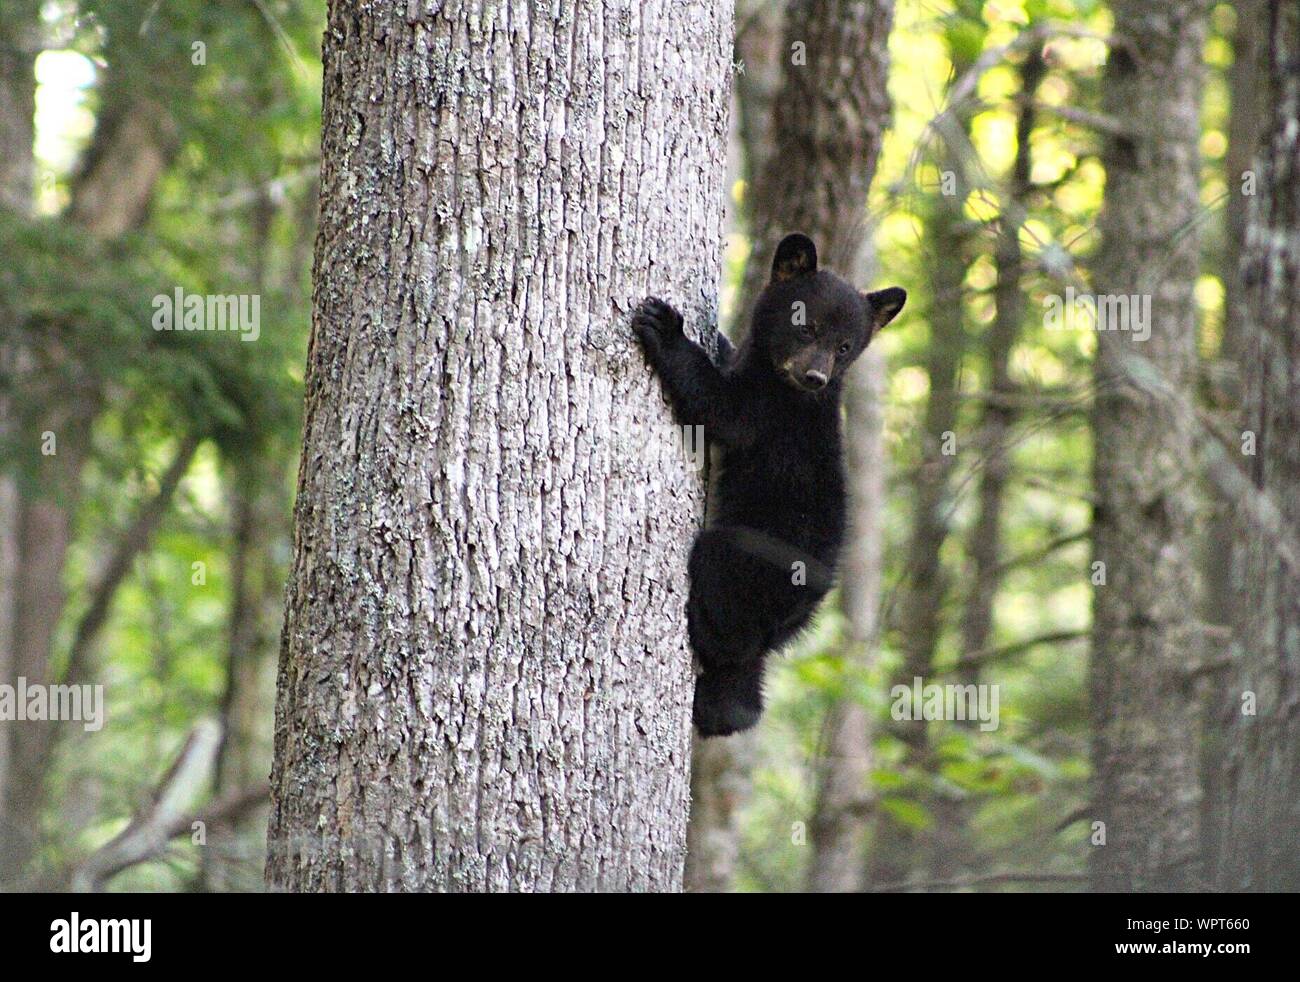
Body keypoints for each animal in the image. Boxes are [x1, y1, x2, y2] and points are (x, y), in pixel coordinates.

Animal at [633, 232, 906, 736]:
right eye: (807, 327)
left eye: (844, 346)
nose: (815, 376)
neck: (782, 382)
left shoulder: (766, 413)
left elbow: (719, 407)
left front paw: (665, 327)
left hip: (748, 562)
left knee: (730, 629)